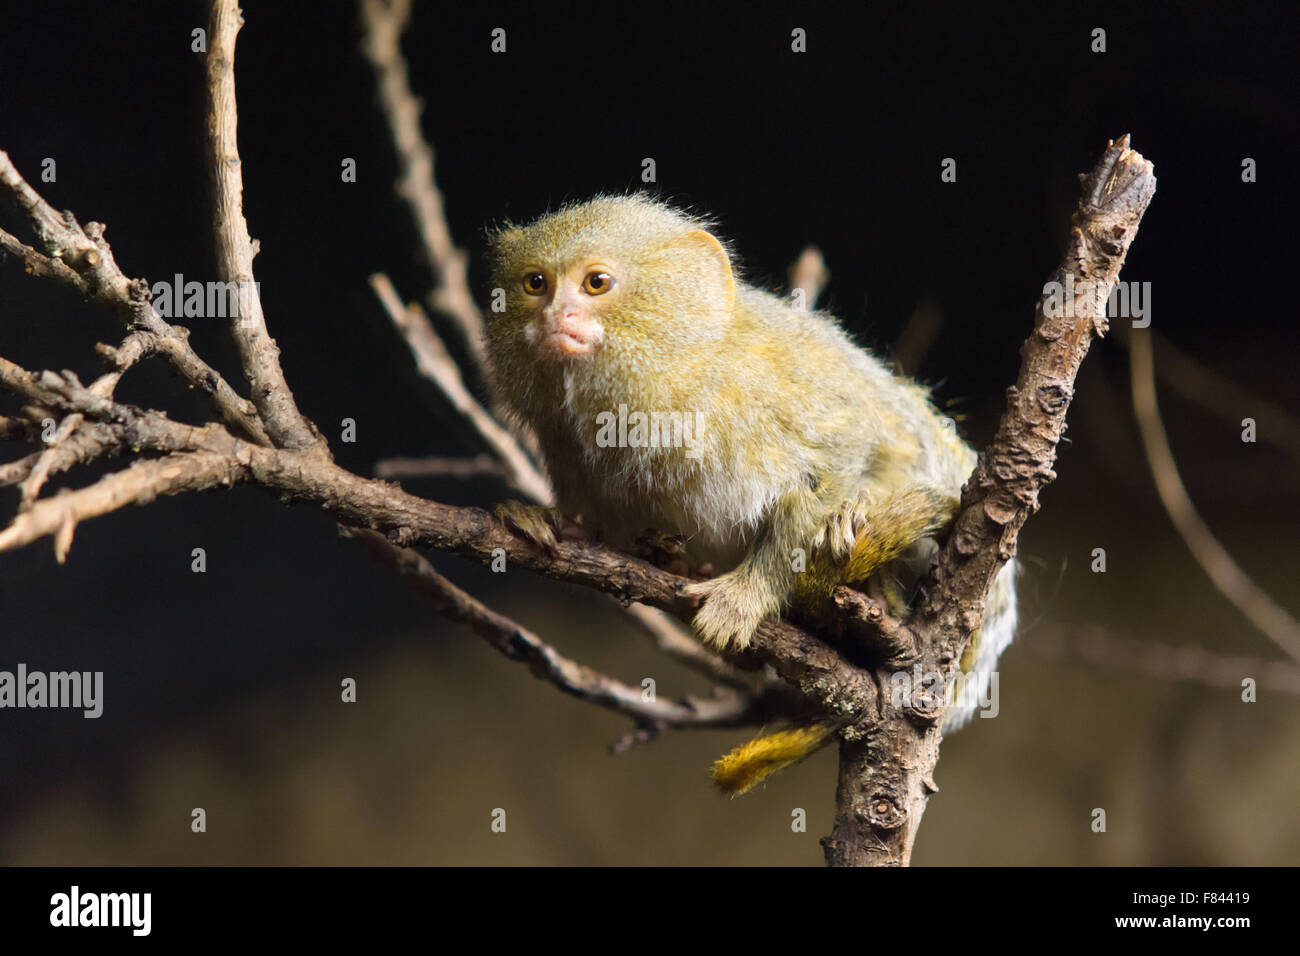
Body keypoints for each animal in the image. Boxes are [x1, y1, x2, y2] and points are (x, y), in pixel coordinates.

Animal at [484, 195, 1018, 795]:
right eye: (536, 283)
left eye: (596, 283)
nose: (556, 317)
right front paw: (549, 522)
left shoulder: (759, 392)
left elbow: (843, 448)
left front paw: (746, 598)